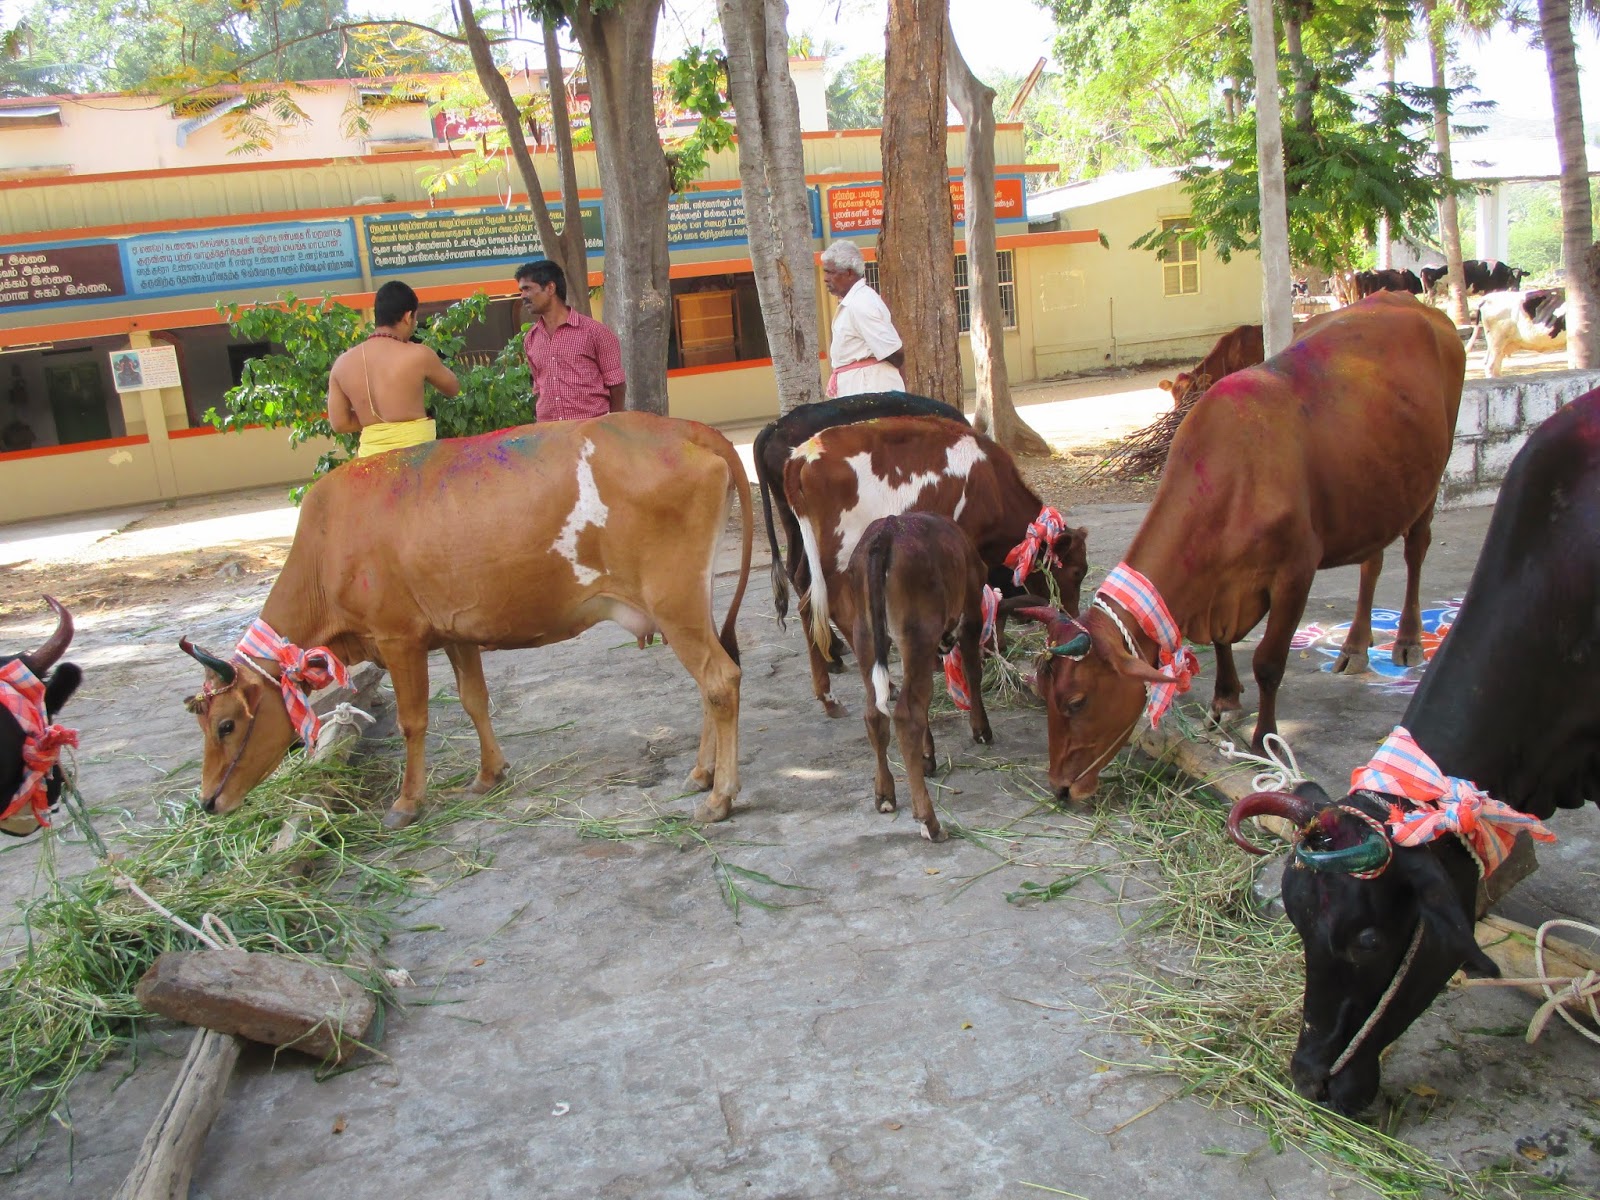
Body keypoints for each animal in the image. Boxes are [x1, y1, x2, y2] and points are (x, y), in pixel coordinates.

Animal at [181, 414, 753, 830]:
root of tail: (686, 428)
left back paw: (720, 796)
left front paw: (407, 803)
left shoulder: (399, 637)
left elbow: (414, 721)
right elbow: (475, 700)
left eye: (227, 725)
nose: (208, 802)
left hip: (674, 601)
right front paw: (488, 773)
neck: (326, 547)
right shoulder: (456, 632)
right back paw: (701, 773)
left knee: (719, 680)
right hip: (689, 602)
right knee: (711, 681)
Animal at [782, 416, 1088, 719]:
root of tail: (803, 453)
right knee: (823, 606)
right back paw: (837, 695)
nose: (1073, 617)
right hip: (838, 551)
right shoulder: (967, 544)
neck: (991, 481)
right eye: (1076, 573)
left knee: (808, 601)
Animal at [833, 513, 994, 842]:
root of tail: (886, 532)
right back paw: (929, 821)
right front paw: (981, 729)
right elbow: (972, 671)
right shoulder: (971, 613)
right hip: (918, 633)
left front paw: (926, 756)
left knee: (876, 713)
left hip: (866, 636)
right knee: (907, 714)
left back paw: (884, 794)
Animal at [1022, 293, 1465, 801]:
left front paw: (1263, 739)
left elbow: (1268, 662)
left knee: (1416, 549)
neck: (1233, 479)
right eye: (1044, 692)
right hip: (1375, 494)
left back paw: (1408, 640)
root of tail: (1409, 301)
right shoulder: (1220, 589)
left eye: (1076, 701)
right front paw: (1224, 700)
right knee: (1372, 561)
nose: (1059, 787)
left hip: (1432, 475)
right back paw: (1354, 646)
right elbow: (1222, 639)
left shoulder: (1295, 573)